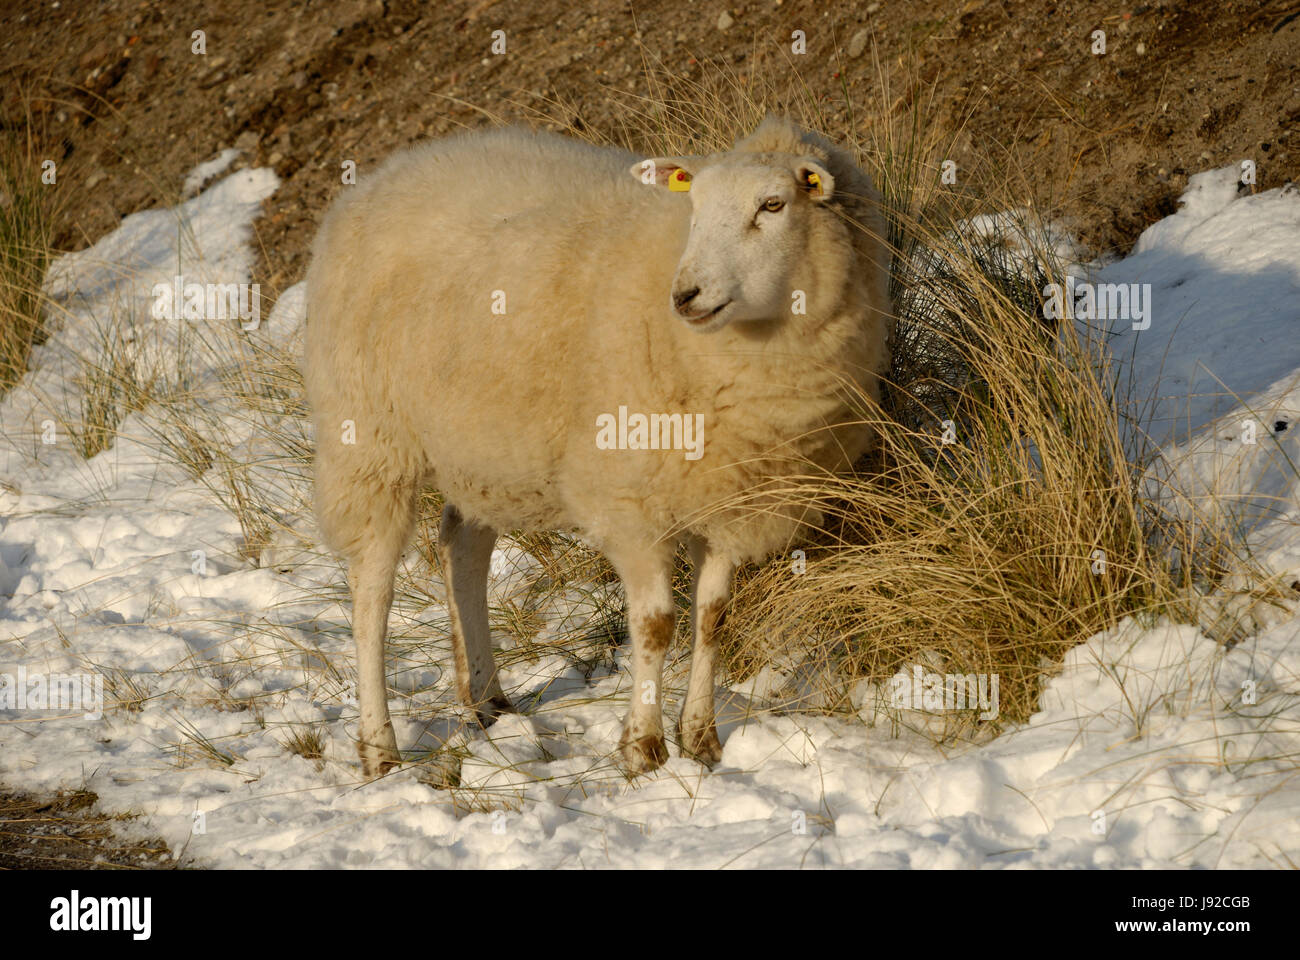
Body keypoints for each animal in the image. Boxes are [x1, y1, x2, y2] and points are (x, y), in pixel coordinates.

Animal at [303, 116, 892, 778]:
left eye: (773, 205)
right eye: (694, 206)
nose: (685, 295)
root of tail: (383, 175)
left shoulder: (728, 499)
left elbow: (712, 619)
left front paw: (702, 740)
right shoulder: (629, 498)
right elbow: (656, 624)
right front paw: (644, 748)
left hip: (484, 444)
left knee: (463, 548)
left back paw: (487, 700)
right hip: (370, 439)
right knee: (371, 594)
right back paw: (380, 747)